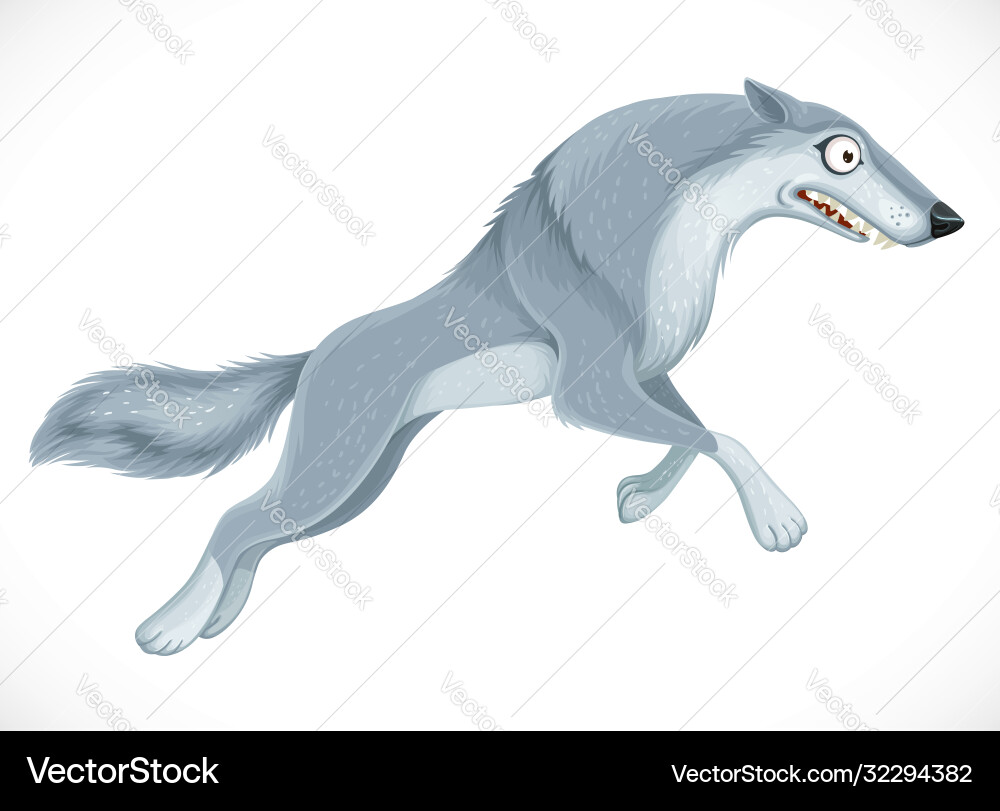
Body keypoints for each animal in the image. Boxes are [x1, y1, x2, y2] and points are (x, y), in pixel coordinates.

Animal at [31, 79, 964, 655]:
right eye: (842, 154)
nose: (948, 218)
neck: (663, 226)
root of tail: (311, 354)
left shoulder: (641, 379)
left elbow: (693, 432)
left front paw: (640, 497)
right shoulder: (589, 392)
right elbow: (722, 436)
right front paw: (776, 519)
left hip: (359, 484)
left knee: (255, 531)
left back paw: (217, 619)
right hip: (339, 471)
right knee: (232, 519)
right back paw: (170, 627)